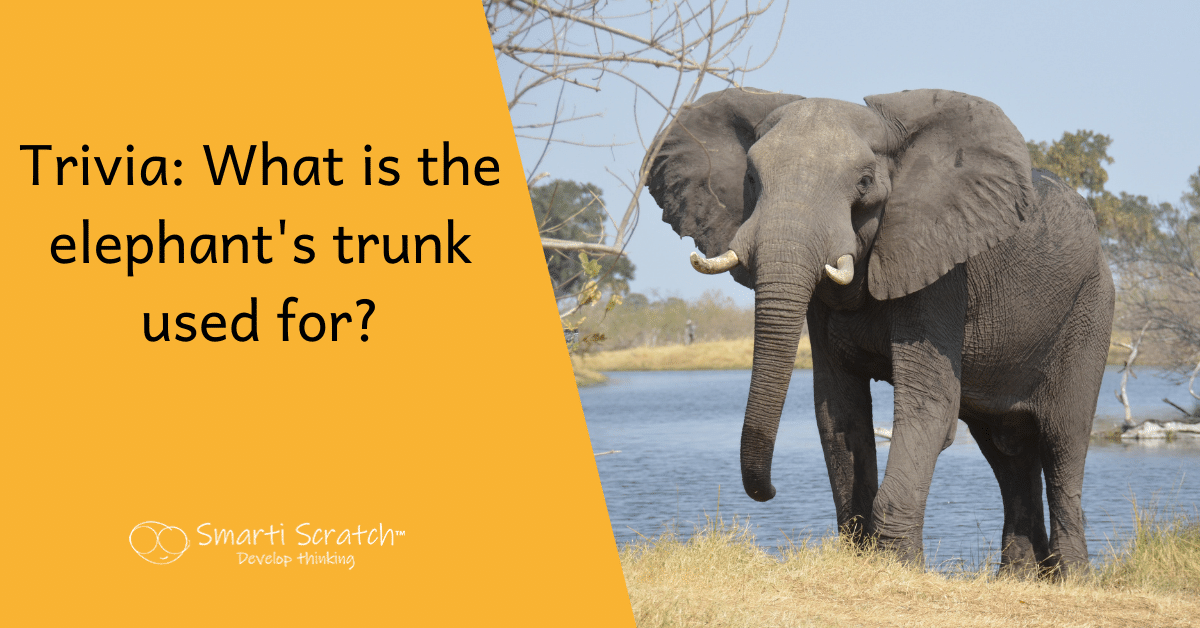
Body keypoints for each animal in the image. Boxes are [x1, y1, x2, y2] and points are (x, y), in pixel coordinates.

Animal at [644, 88, 1114, 575]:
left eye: (865, 182)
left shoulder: (940, 268)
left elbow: (929, 407)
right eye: (752, 178)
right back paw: (1020, 577)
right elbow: (838, 410)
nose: (770, 492)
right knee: (1006, 448)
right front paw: (863, 556)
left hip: (1091, 307)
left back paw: (1072, 577)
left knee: (1063, 438)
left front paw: (900, 566)